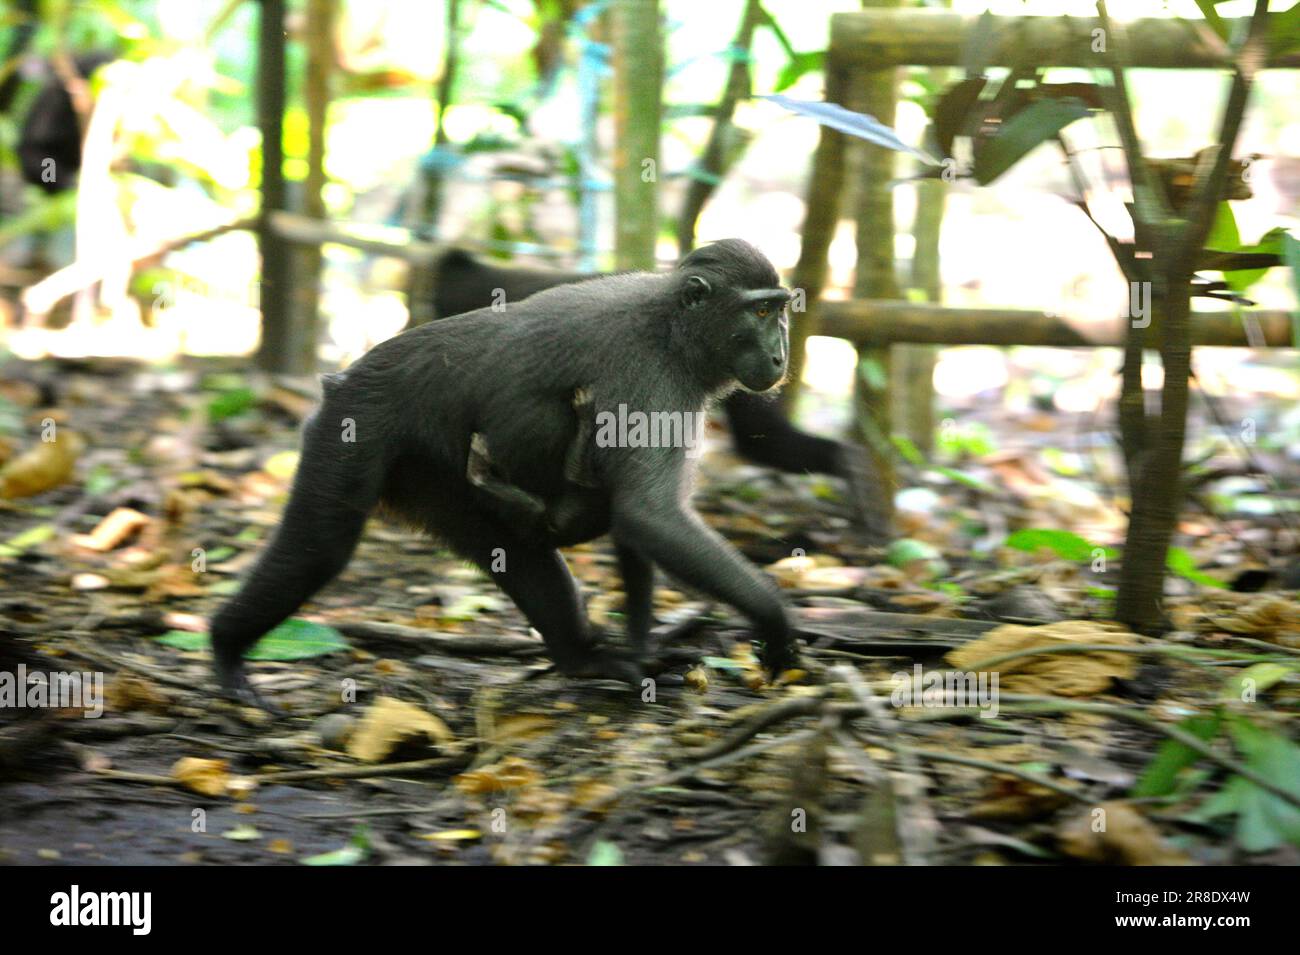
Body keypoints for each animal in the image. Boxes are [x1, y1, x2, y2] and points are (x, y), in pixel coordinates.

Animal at [209, 239, 799, 707]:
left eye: (780, 311)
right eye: (761, 314)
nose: (780, 356)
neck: (674, 325)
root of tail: (343, 379)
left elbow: (636, 524)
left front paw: (640, 649)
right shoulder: (650, 382)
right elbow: (648, 515)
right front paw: (774, 621)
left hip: (430, 473)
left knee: (514, 550)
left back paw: (581, 658)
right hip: (351, 431)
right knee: (321, 547)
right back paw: (224, 645)